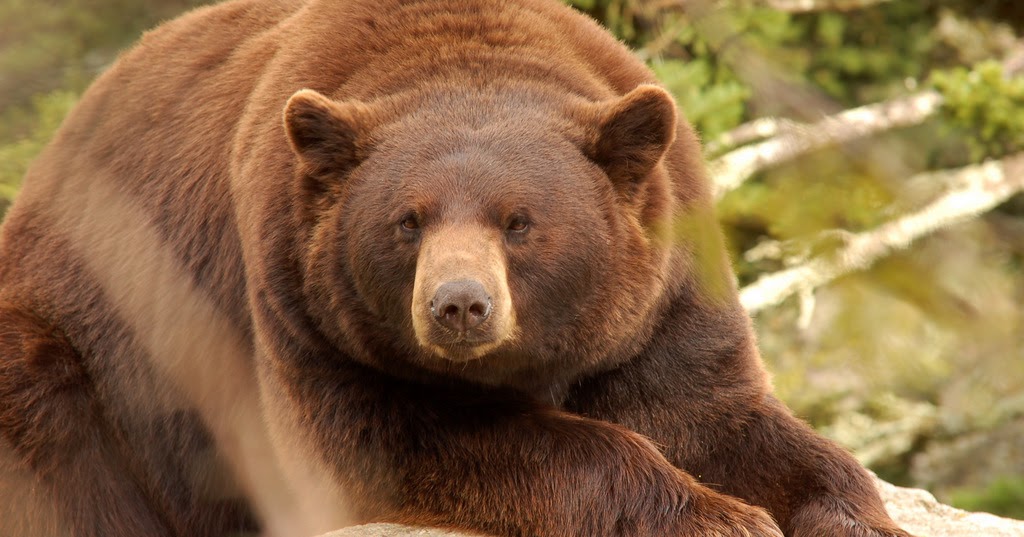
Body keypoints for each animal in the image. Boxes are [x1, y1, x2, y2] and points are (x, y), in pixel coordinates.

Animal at [0, 0, 913, 536]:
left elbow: (719, 415)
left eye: (520, 221)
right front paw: (718, 515)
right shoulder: (297, 305)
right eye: (408, 220)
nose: (460, 305)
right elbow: (409, 438)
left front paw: (848, 512)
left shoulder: (664, 293)